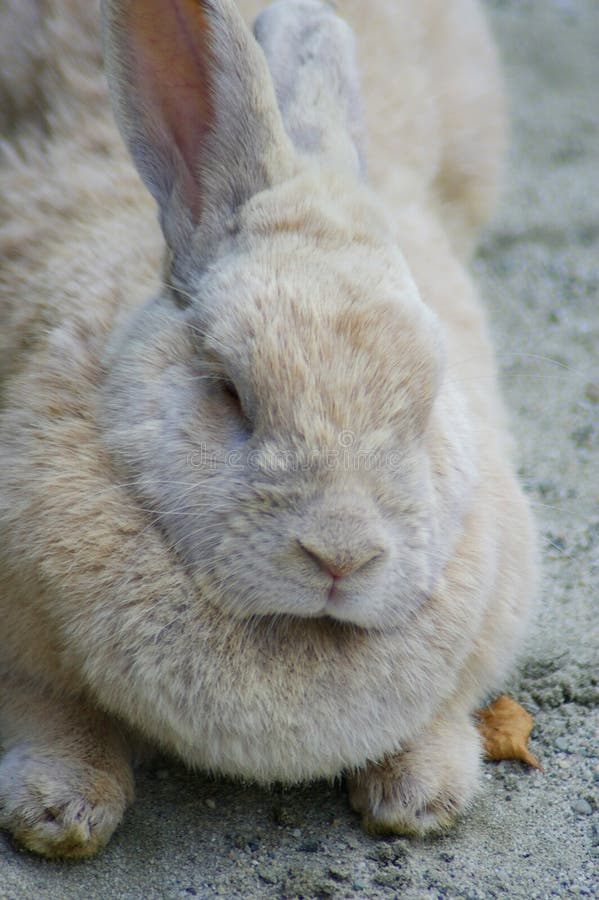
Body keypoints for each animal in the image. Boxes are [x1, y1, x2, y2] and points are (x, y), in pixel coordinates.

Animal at [0, 0, 537, 858]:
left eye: (424, 401)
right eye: (230, 392)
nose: (341, 557)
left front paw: (423, 797)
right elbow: (47, 709)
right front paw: (58, 811)